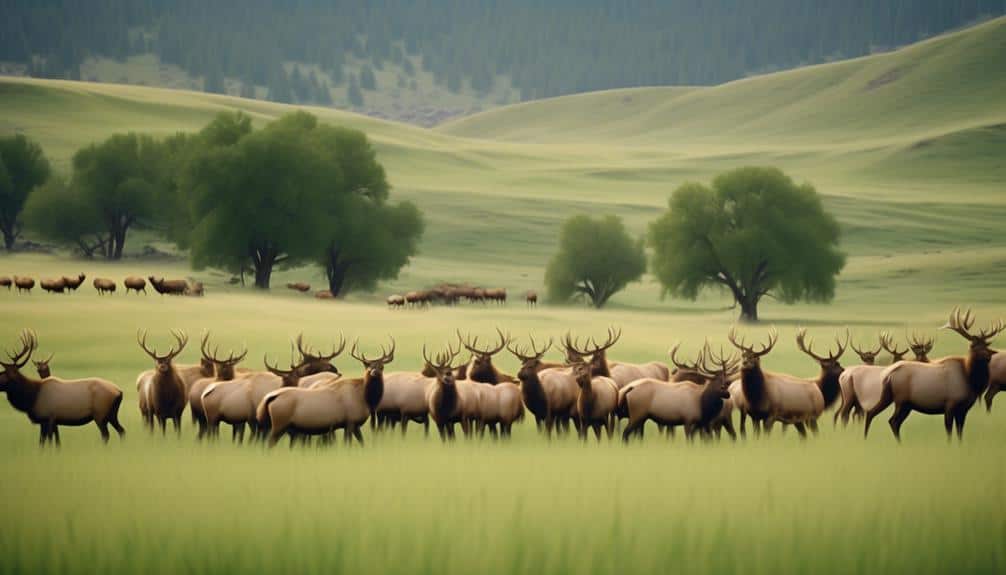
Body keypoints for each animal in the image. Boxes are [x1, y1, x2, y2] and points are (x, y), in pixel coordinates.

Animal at [257, 339, 392, 446]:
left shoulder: (351, 424)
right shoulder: (349, 422)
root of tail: (270, 398)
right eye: (367, 366)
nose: (374, 372)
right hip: (281, 425)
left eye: (382, 367)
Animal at [864, 307, 1004, 441]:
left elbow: (960, 432)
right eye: (973, 345)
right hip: (902, 401)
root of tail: (889, 374)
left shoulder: (964, 409)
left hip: (895, 399)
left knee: (876, 414)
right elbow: (949, 430)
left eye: (986, 344)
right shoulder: (950, 404)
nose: (988, 356)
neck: (971, 381)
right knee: (892, 421)